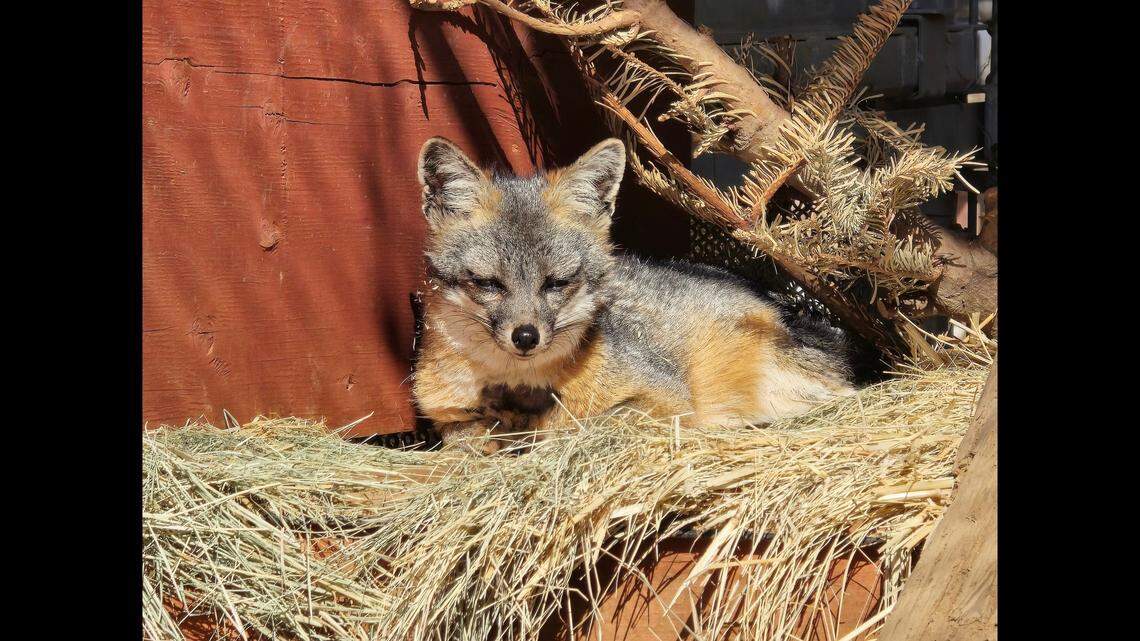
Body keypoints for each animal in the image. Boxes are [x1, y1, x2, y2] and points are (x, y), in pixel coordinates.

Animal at [412, 136, 861, 454]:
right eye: (488, 283)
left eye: (557, 283)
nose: (526, 337)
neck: (519, 387)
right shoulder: (445, 415)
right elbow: (464, 432)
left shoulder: (668, 395)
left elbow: (588, 423)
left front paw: (537, 431)